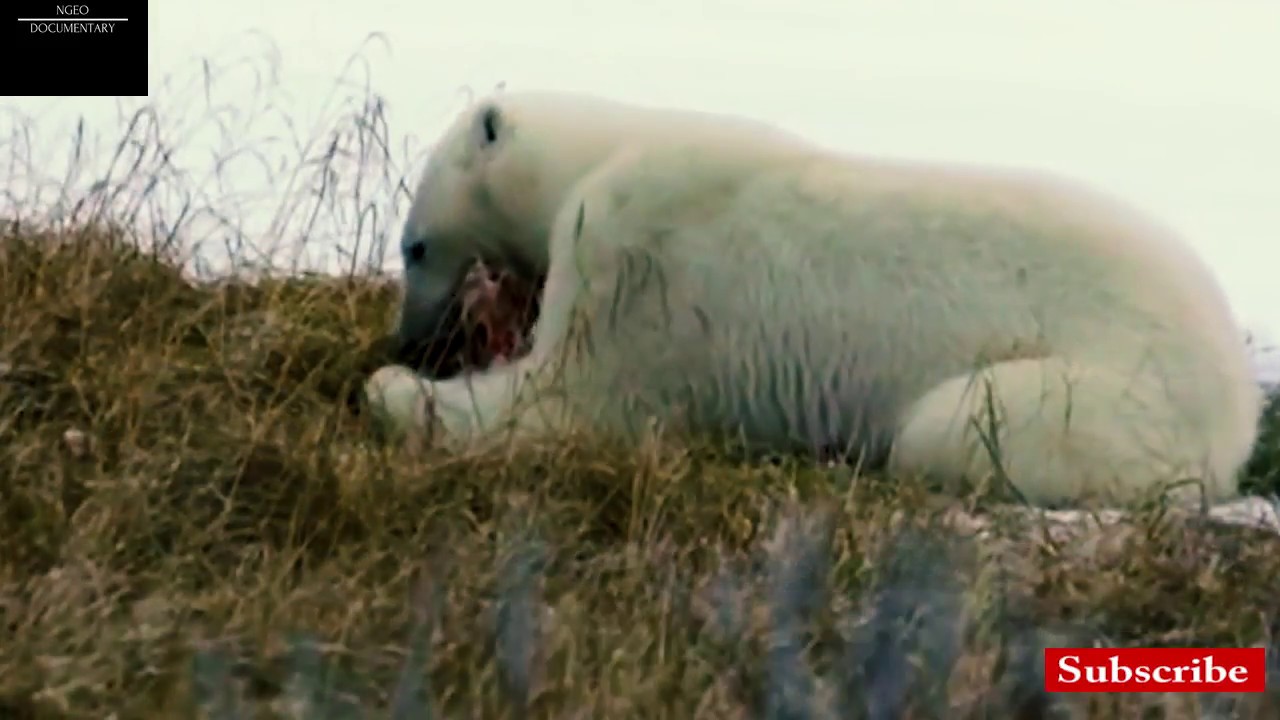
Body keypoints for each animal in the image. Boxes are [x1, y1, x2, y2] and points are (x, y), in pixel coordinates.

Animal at [364, 89, 1263, 509]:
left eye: (414, 248)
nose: (411, 340)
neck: (600, 155)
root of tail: (1241, 410)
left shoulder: (638, 261)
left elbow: (562, 402)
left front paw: (391, 389)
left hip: (1115, 389)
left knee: (953, 423)